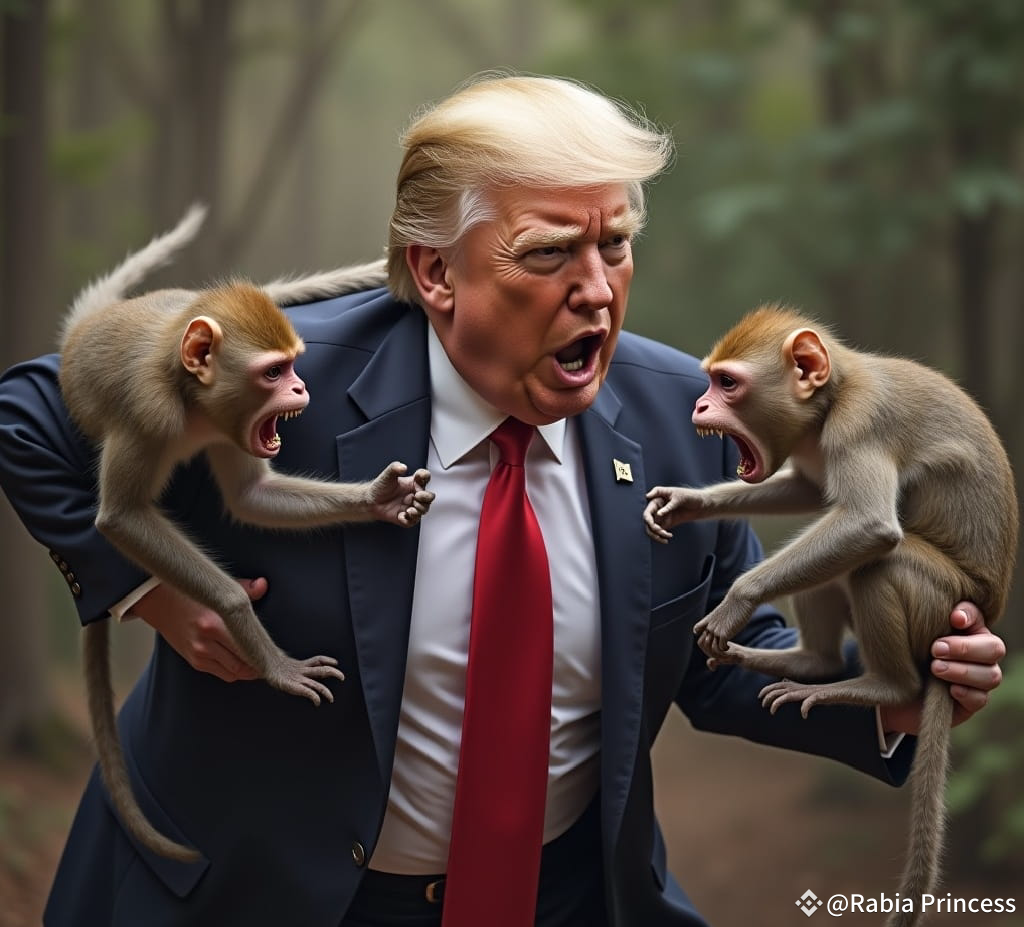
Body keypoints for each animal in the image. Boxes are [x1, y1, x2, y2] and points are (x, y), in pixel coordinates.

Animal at [58, 205, 434, 863]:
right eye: (275, 371)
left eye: (294, 364)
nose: (301, 388)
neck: (190, 394)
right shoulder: (147, 410)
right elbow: (122, 518)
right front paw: (265, 652)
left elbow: (250, 499)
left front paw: (379, 499)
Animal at [643, 304, 1017, 927]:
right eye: (710, 381)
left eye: (726, 383)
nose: (697, 407)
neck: (830, 397)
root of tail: (984, 603)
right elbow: (804, 490)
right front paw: (691, 502)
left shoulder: (860, 425)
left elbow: (867, 524)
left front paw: (735, 601)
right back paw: (811, 664)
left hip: (942, 597)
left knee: (878, 565)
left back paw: (884, 689)